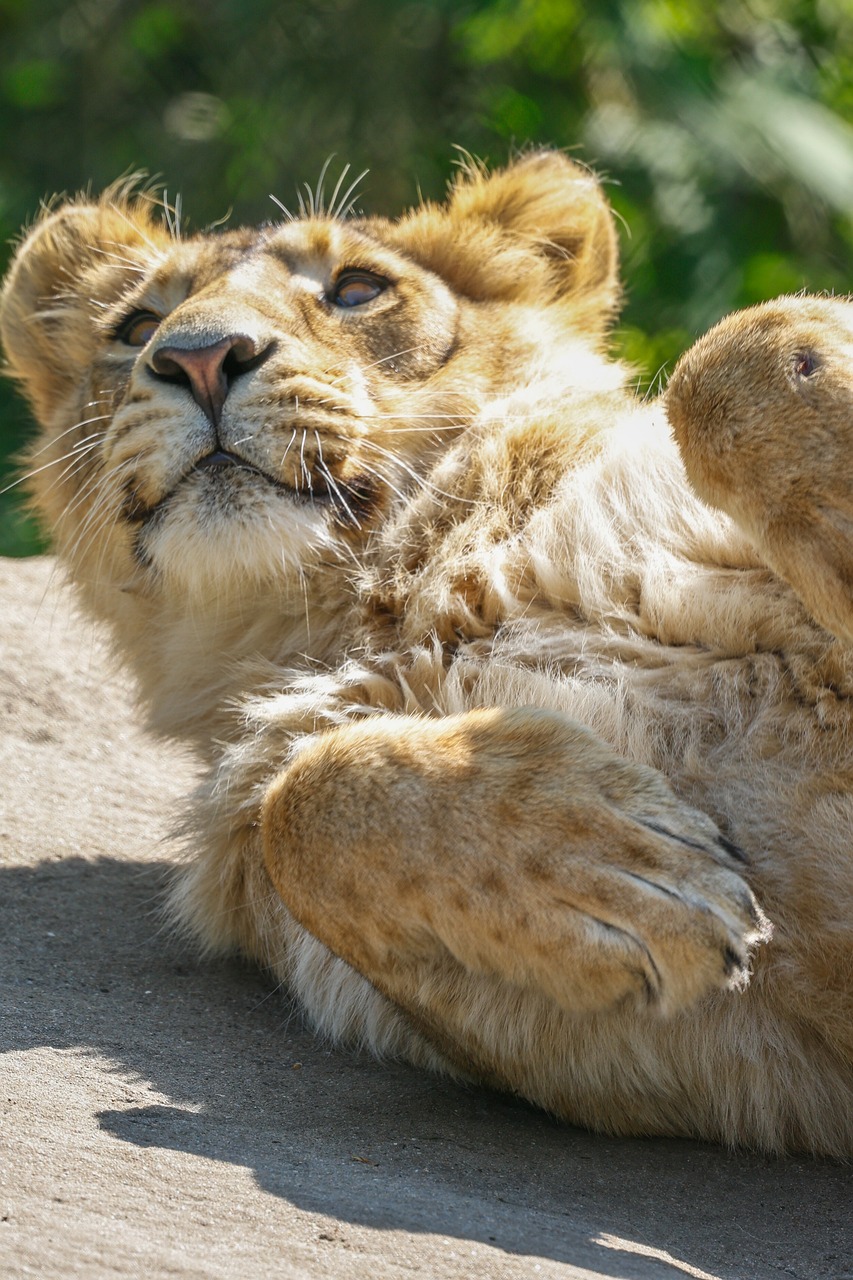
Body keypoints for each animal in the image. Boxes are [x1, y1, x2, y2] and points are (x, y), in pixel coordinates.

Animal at [2, 151, 852, 1156]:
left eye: (356, 288)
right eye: (135, 326)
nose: (199, 358)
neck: (394, 602)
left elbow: (728, 359)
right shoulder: (698, 1051)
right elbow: (303, 803)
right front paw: (625, 875)